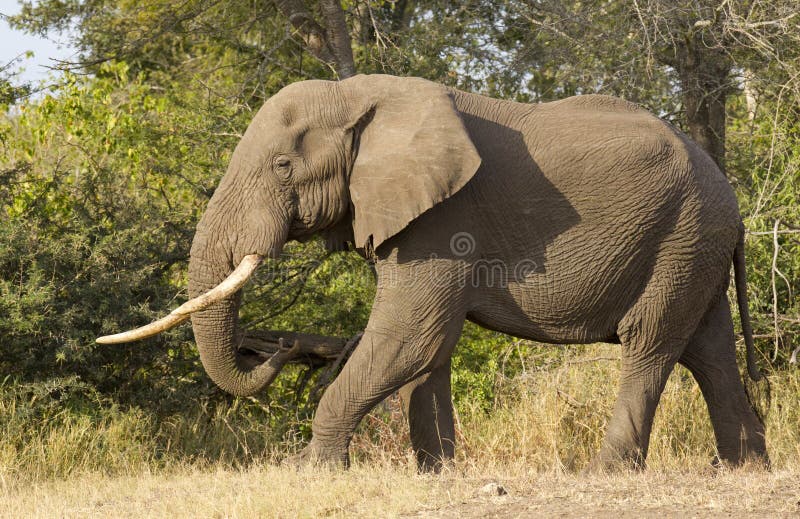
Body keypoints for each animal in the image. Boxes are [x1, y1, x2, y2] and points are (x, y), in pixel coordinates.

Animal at [98, 74, 768, 472]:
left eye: (284, 165)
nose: (277, 349)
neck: (360, 98)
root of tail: (732, 200)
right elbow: (429, 348)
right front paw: (439, 472)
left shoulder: (445, 217)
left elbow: (411, 335)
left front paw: (314, 471)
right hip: (693, 245)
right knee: (709, 350)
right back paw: (743, 469)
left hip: (682, 235)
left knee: (651, 344)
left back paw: (607, 474)